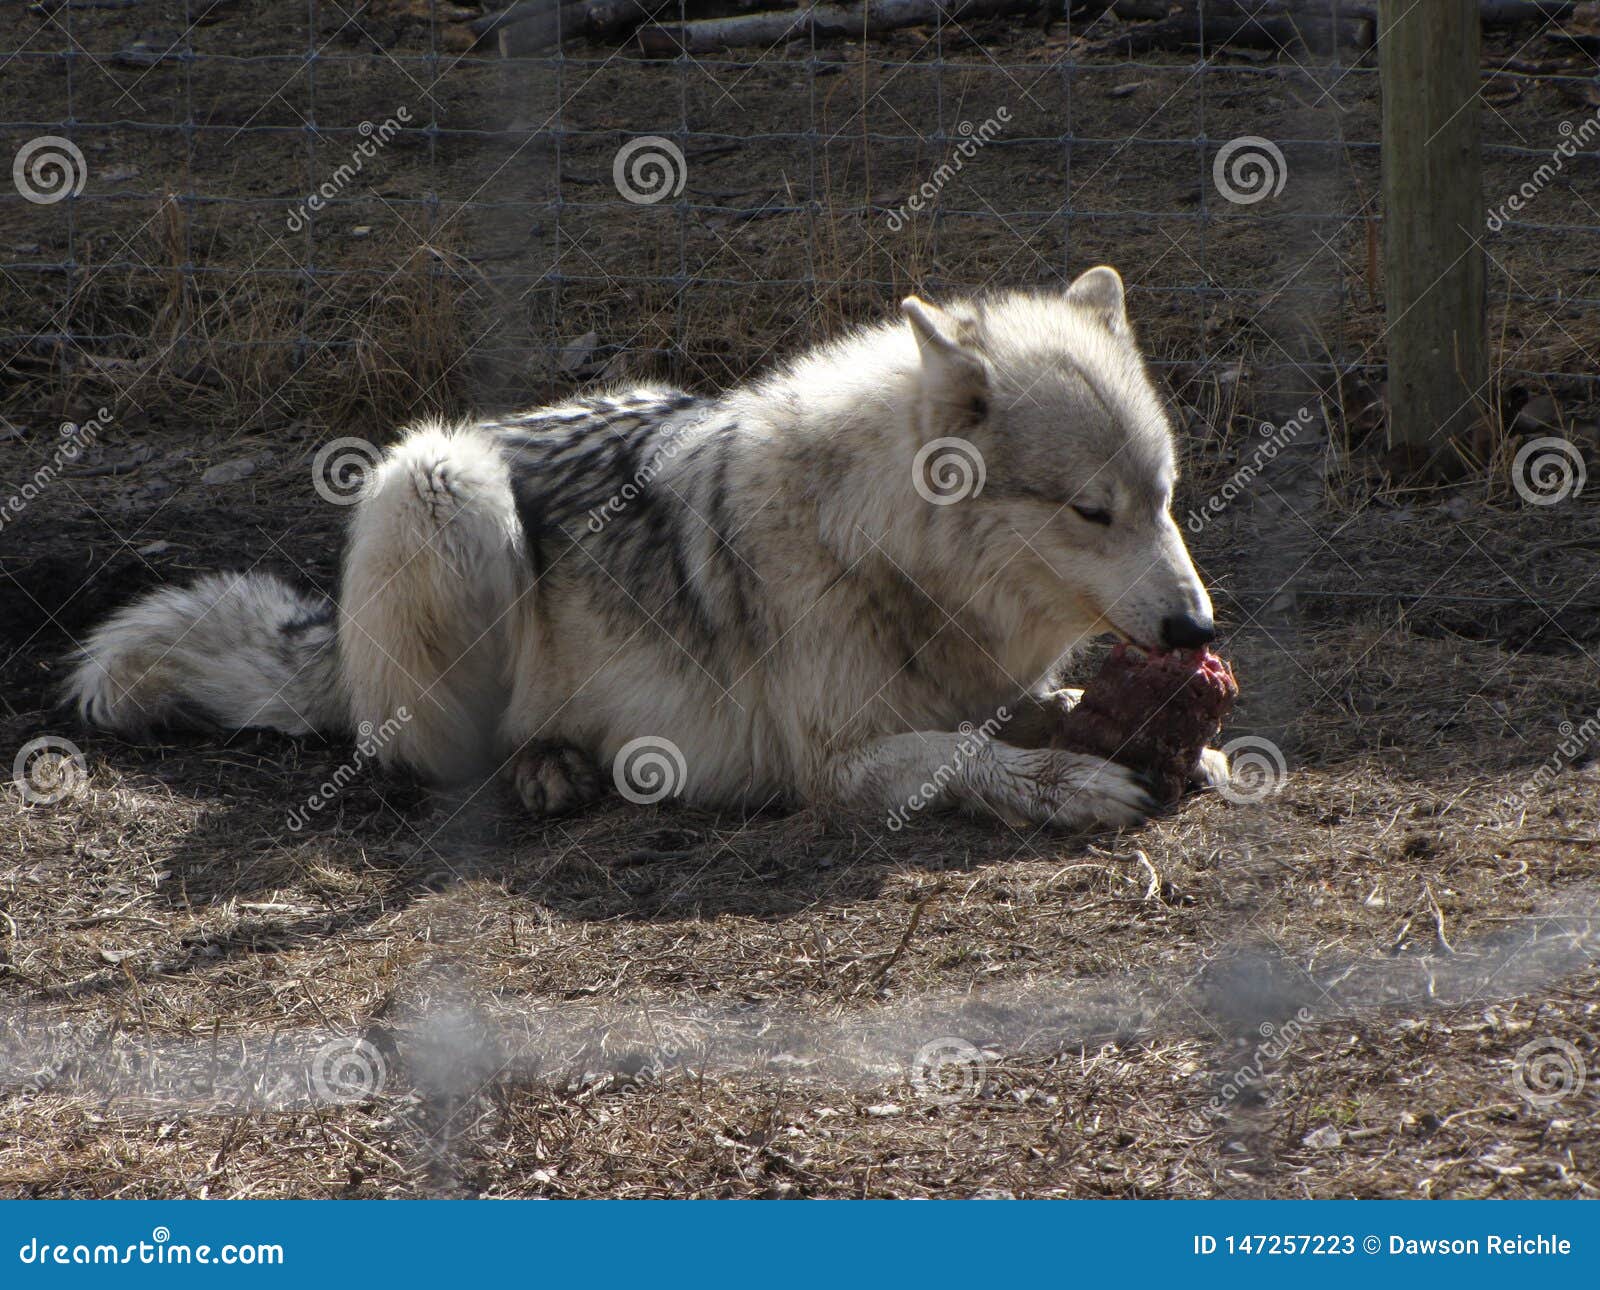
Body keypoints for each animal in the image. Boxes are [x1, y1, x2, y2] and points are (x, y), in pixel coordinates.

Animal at [68, 266, 1227, 831]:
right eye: (1091, 512)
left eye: (1164, 499)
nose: (1197, 628)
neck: (880, 551)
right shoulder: (830, 763)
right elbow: (964, 756)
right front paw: (1071, 788)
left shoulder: (985, 683)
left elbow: (1040, 711)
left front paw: (1181, 745)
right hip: (440, 484)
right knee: (436, 757)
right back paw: (546, 769)